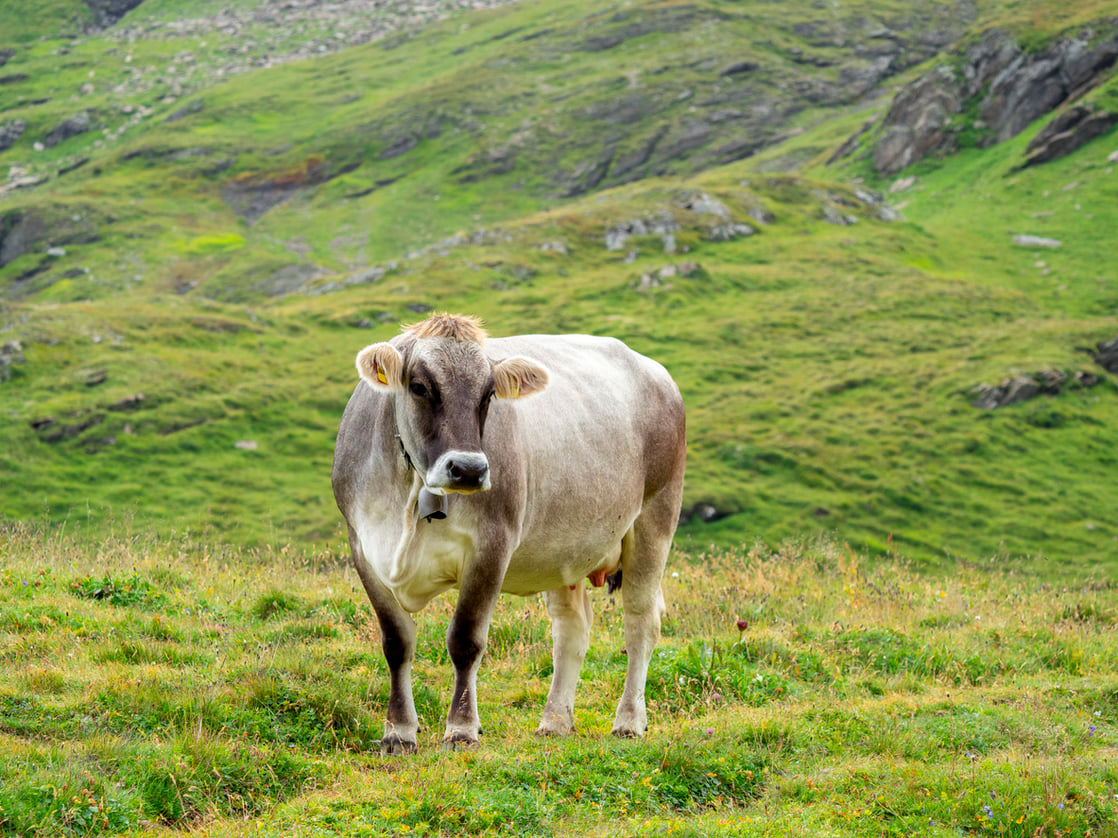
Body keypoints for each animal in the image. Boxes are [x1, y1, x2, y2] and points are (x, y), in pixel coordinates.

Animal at [331, 313, 686, 752]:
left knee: (641, 622)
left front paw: (461, 728)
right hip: (564, 549)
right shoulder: (363, 547)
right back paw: (555, 720)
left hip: (655, 519)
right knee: (571, 628)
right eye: (419, 387)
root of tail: (656, 372)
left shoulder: (492, 546)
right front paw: (398, 732)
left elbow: (465, 641)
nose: (468, 469)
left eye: (488, 395)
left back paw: (629, 721)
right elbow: (397, 642)